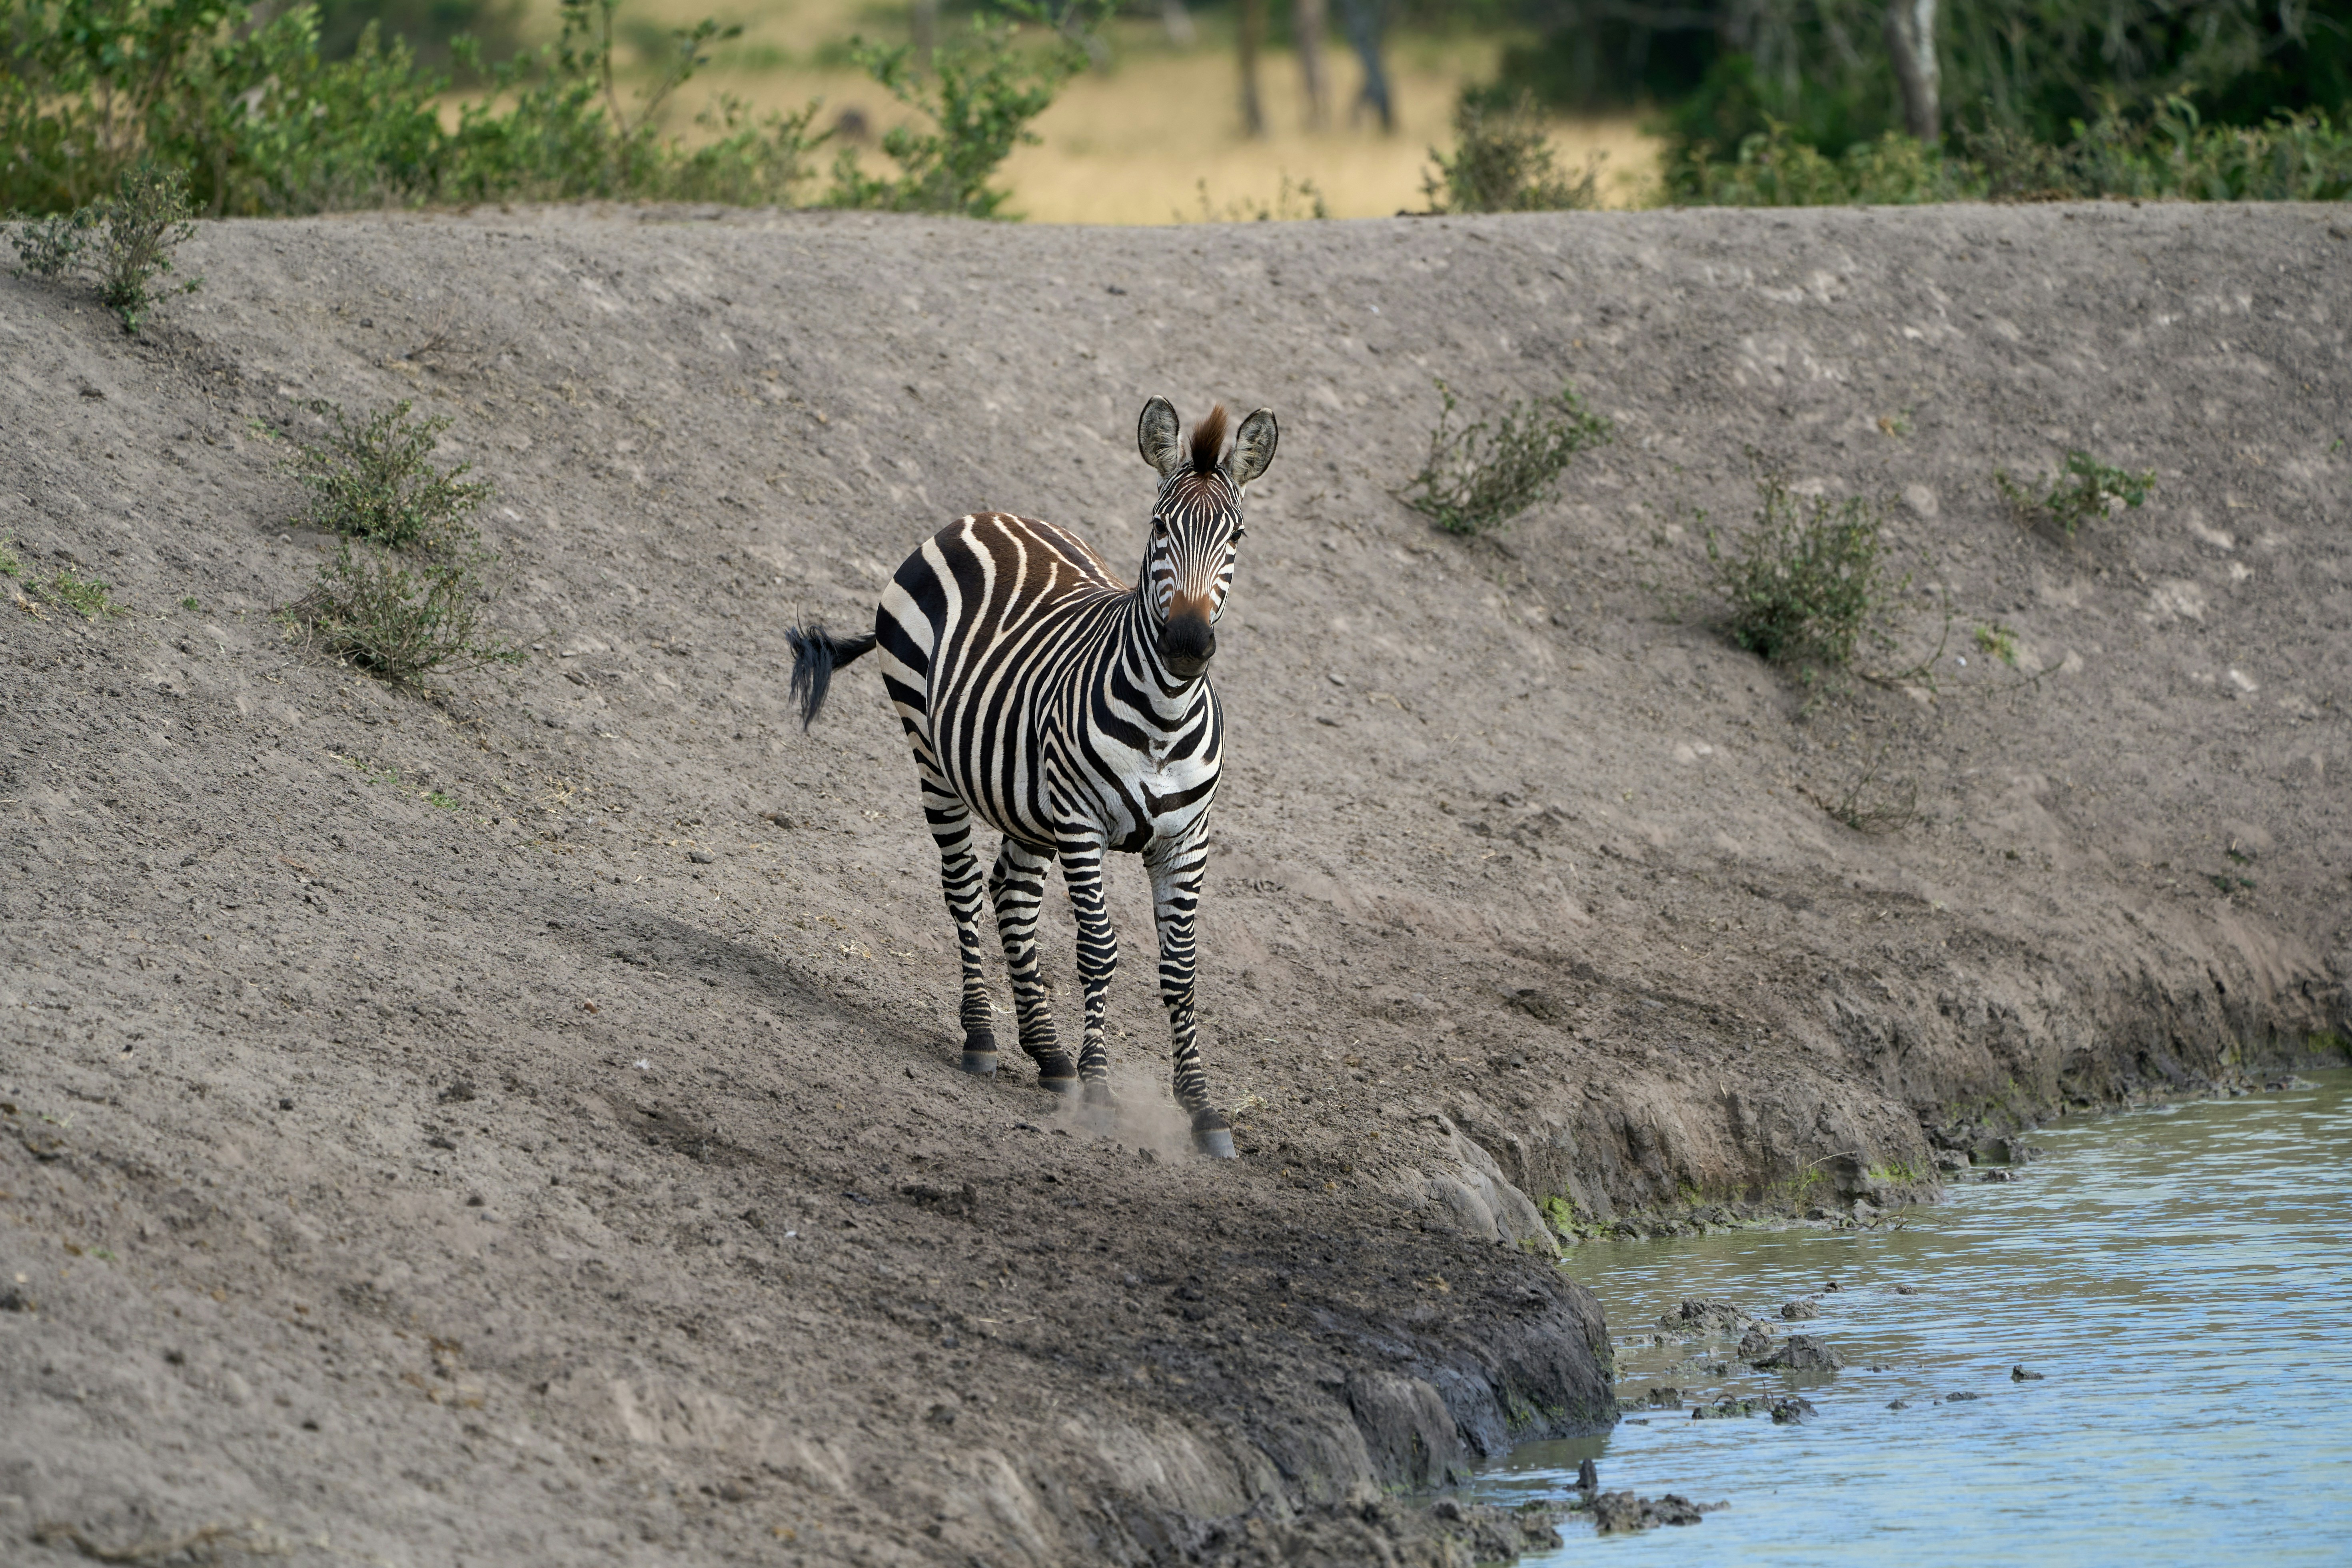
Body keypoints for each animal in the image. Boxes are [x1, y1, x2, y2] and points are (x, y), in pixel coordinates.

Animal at [786, 397, 1278, 1158]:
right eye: (1158, 527)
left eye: (1237, 535)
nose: (1188, 644)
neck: (1164, 715)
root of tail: (979, 517)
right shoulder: (1081, 824)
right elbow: (1099, 951)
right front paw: (1100, 1090)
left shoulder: (1186, 840)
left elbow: (1180, 970)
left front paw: (1201, 1109)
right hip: (934, 757)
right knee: (963, 886)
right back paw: (985, 1036)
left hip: (1027, 798)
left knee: (1011, 896)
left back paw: (1047, 1054)